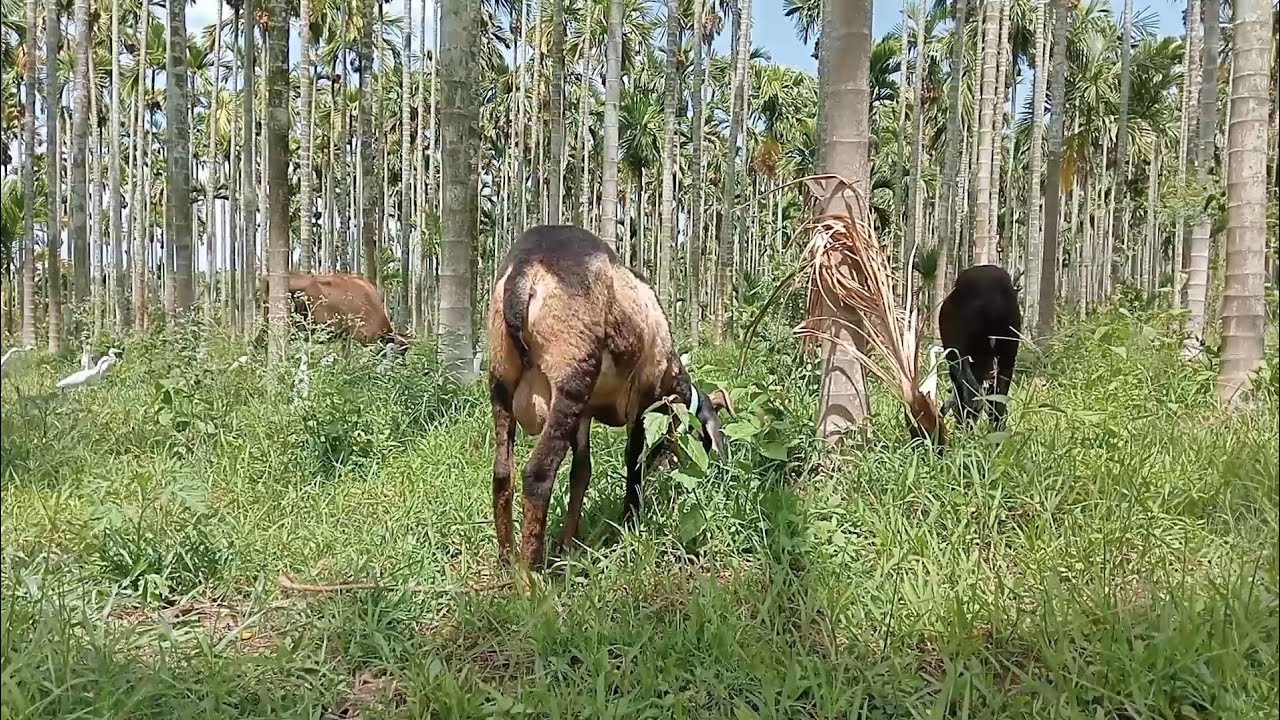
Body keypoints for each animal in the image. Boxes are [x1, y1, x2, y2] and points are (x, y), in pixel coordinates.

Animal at [488, 225, 733, 570]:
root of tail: (525, 268)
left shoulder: (585, 415)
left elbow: (581, 472)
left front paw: (570, 545)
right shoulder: (642, 402)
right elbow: (634, 458)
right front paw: (631, 518)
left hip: (501, 382)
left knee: (502, 472)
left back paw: (507, 557)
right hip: (571, 379)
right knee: (538, 475)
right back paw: (530, 575)